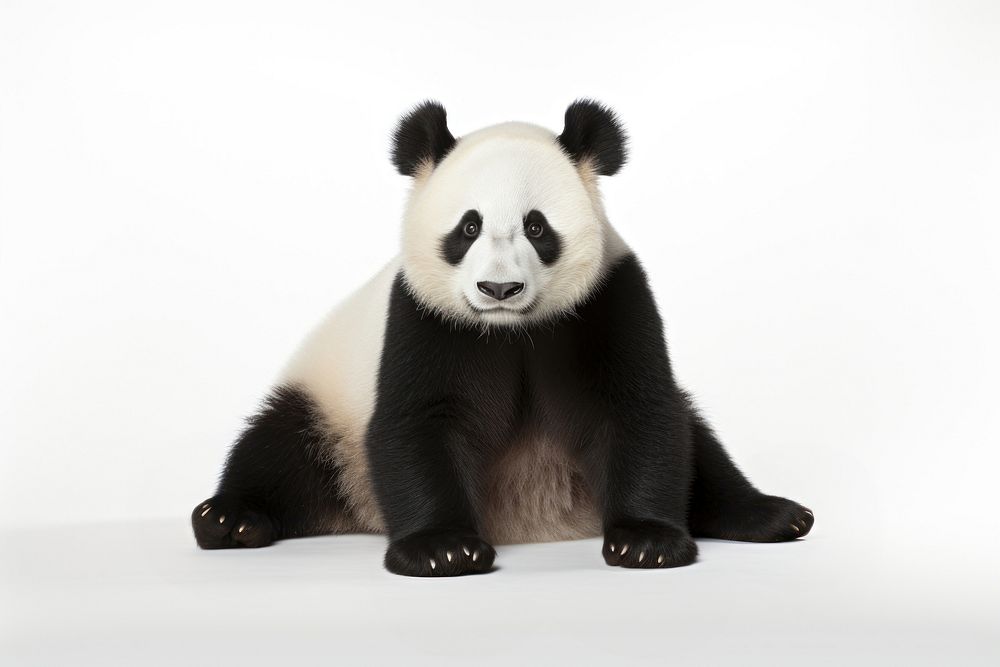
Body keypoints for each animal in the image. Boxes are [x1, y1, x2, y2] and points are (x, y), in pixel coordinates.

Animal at [191, 100, 814, 576]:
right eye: (468, 227)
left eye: (537, 227)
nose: (499, 288)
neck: (509, 331)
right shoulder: (424, 317)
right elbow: (418, 421)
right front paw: (443, 549)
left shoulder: (609, 298)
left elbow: (638, 408)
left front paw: (646, 540)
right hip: (328, 404)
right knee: (281, 446)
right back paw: (229, 520)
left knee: (700, 443)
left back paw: (772, 515)